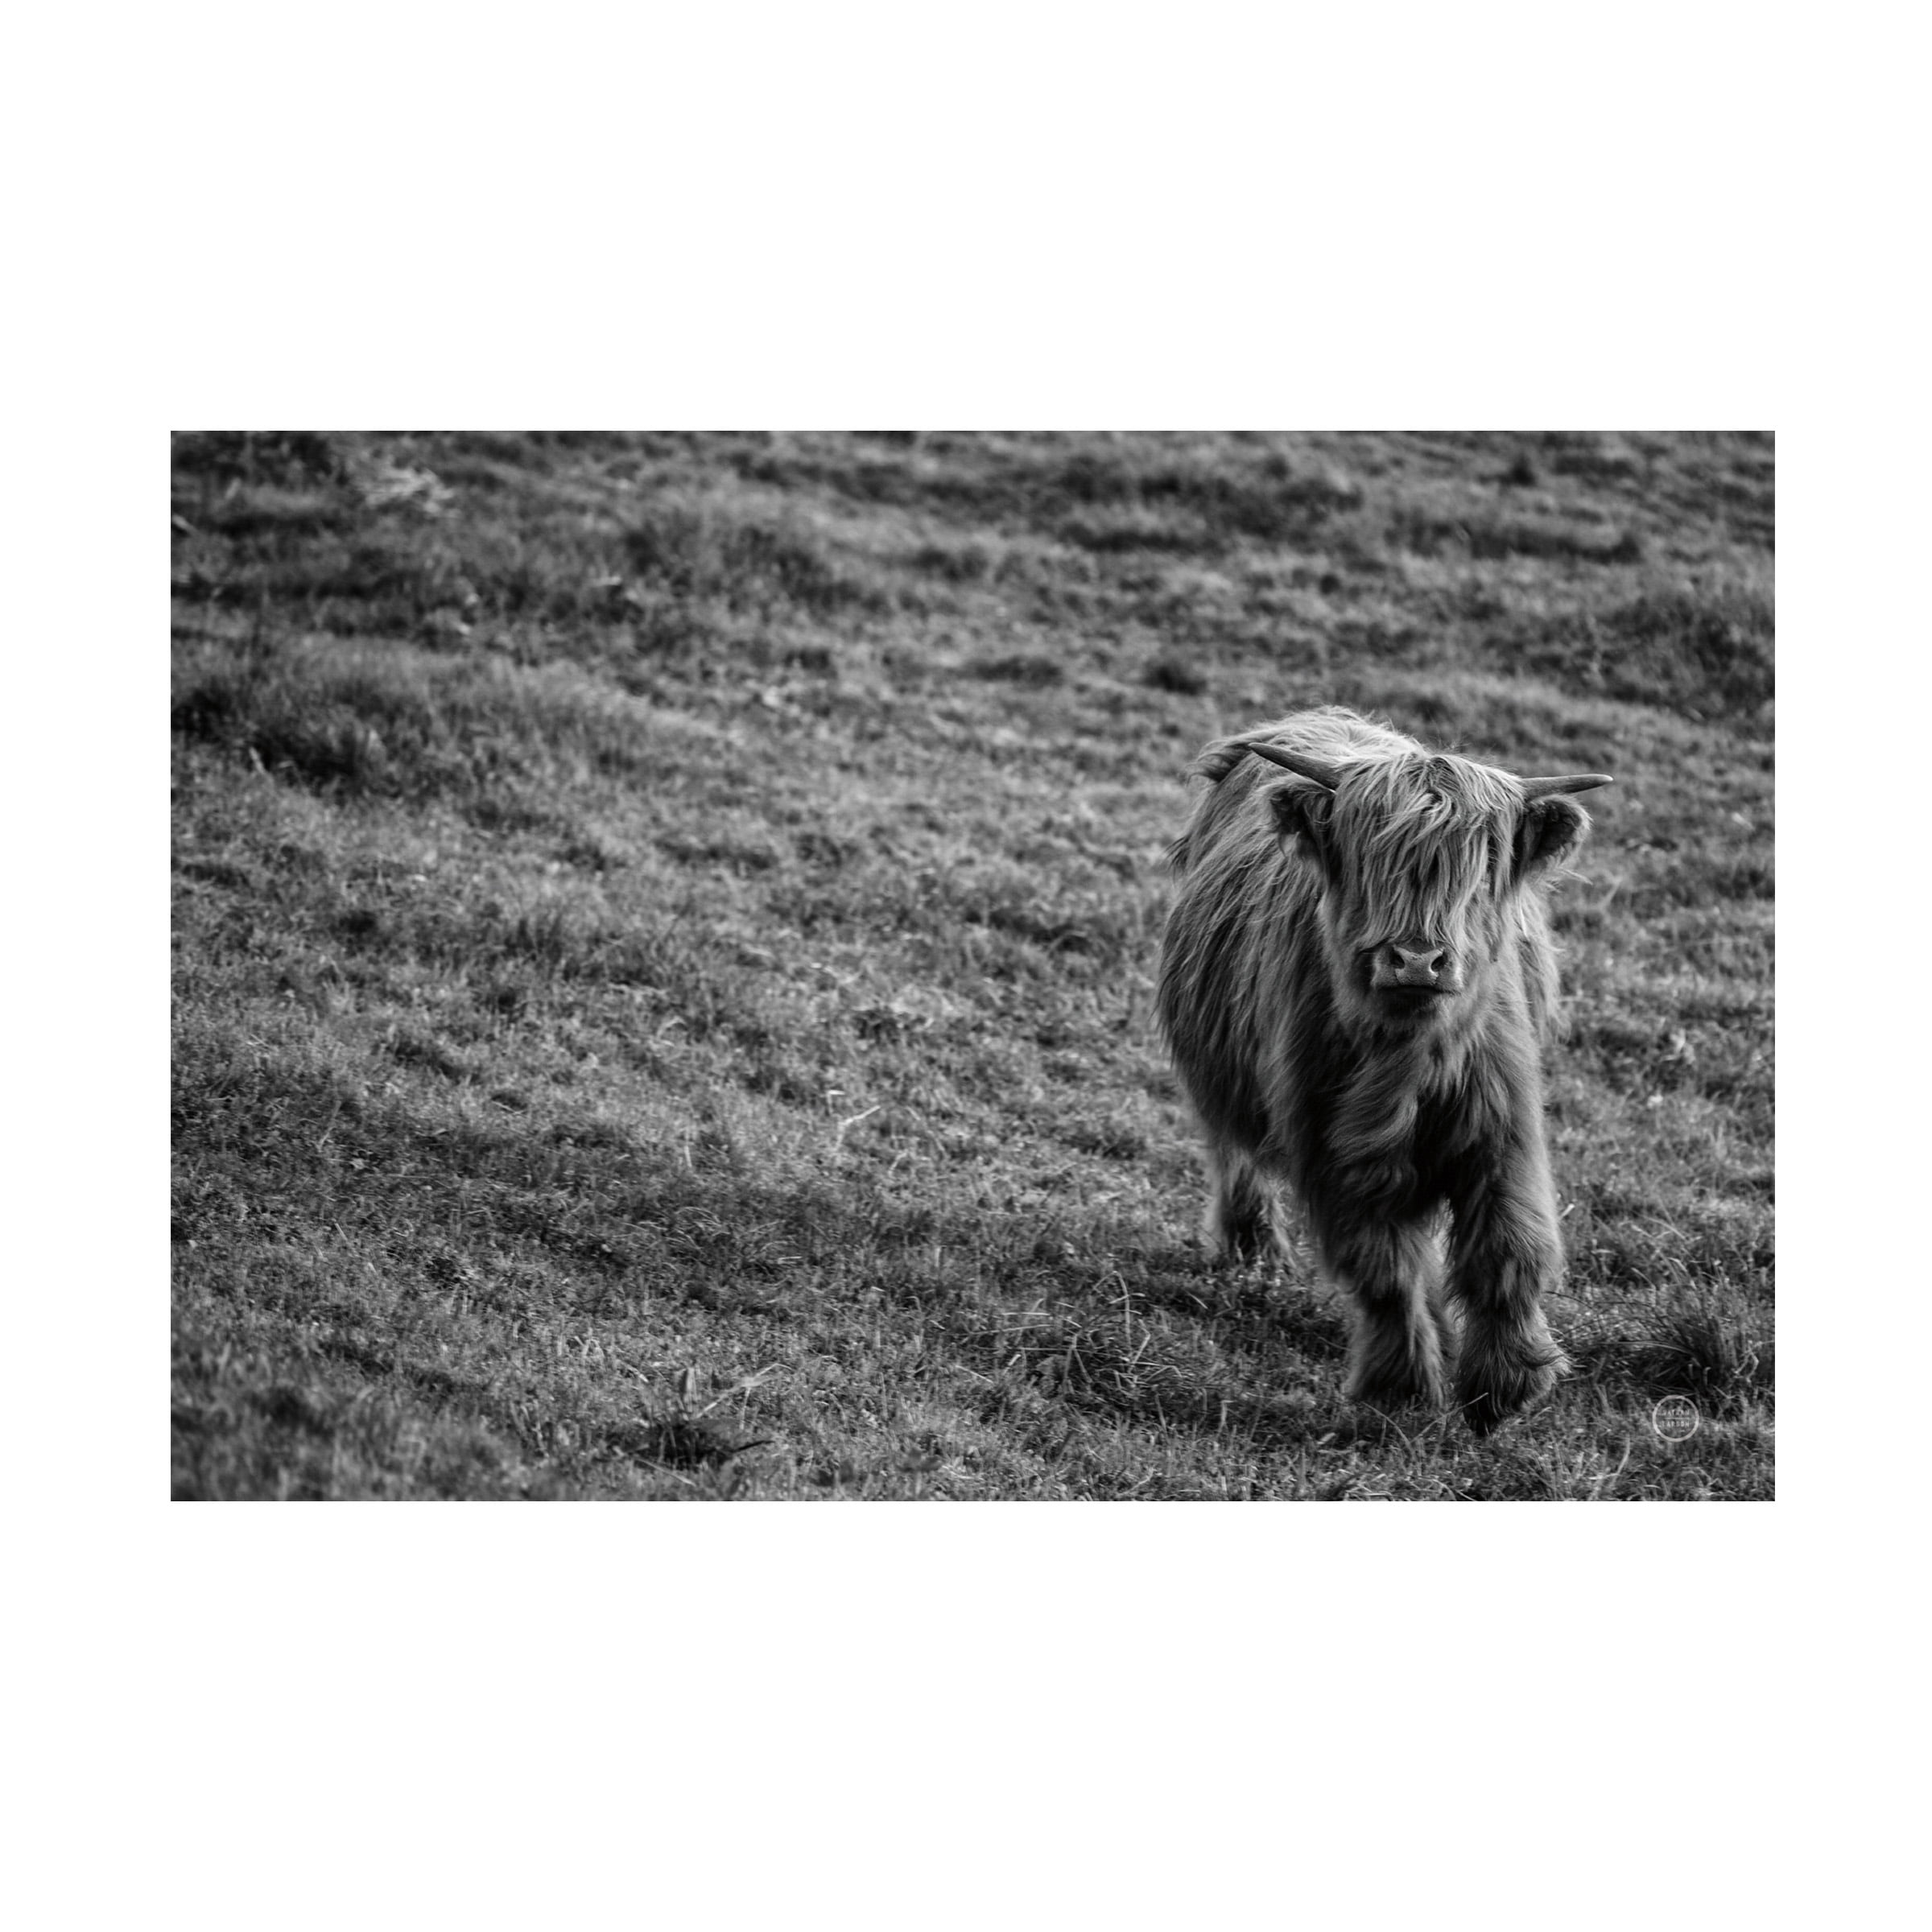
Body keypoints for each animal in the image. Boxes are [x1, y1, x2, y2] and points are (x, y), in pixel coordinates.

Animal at [1156, 705, 1611, 1434]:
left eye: (1483, 862)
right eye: (1369, 854)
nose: (1417, 960)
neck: (1410, 1060)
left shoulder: (1503, 1133)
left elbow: (1508, 1249)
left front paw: (1507, 1384)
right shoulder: (1335, 1151)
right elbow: (1385, 1270)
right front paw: (1401, 1389)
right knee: (1234, 1149)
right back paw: (1253, 1249)